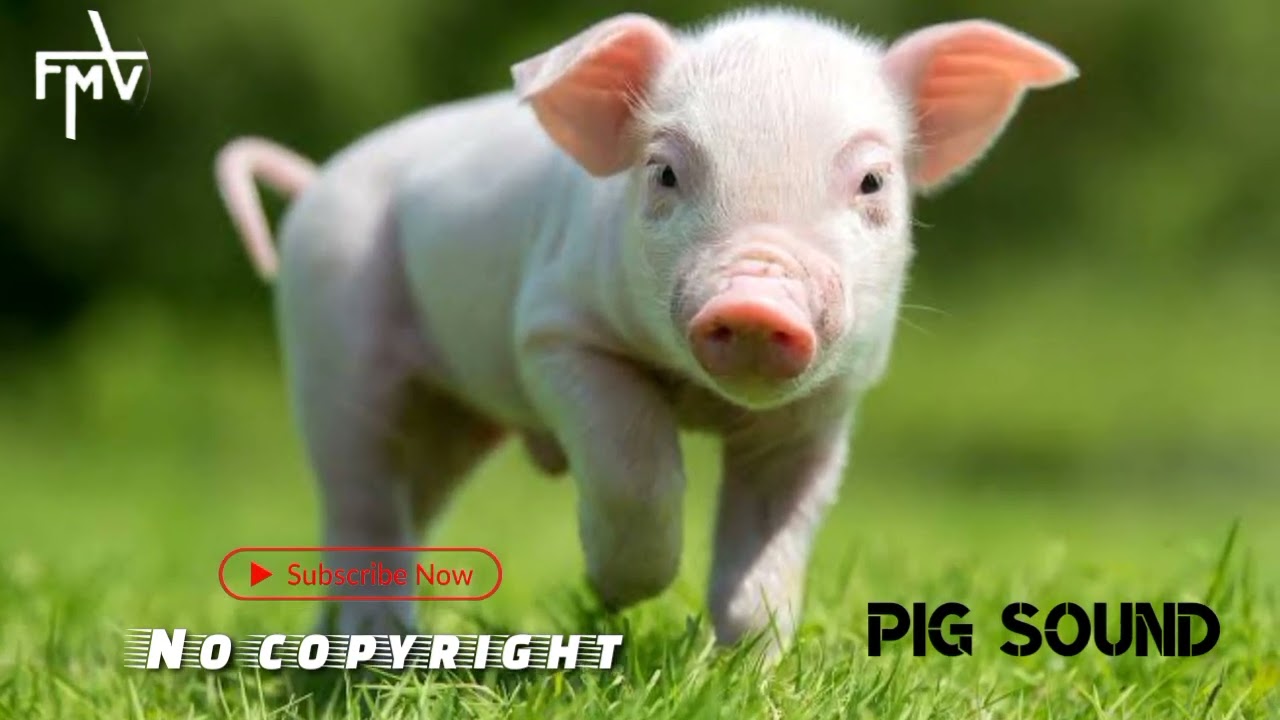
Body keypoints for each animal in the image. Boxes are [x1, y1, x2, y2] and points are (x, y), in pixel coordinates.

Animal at [214, 8, 1076, 659]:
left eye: (872, 181)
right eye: (664, 172)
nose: (757, 300)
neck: (701, 401)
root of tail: (316, 180)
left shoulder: (826, 406)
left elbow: (771, 540)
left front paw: (749, 667)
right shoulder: (555, 332)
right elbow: (636, 467)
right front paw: (614, 596)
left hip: (451, 421)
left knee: (406, 502)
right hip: (332, 341)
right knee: (355, 493)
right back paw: (375, 647)